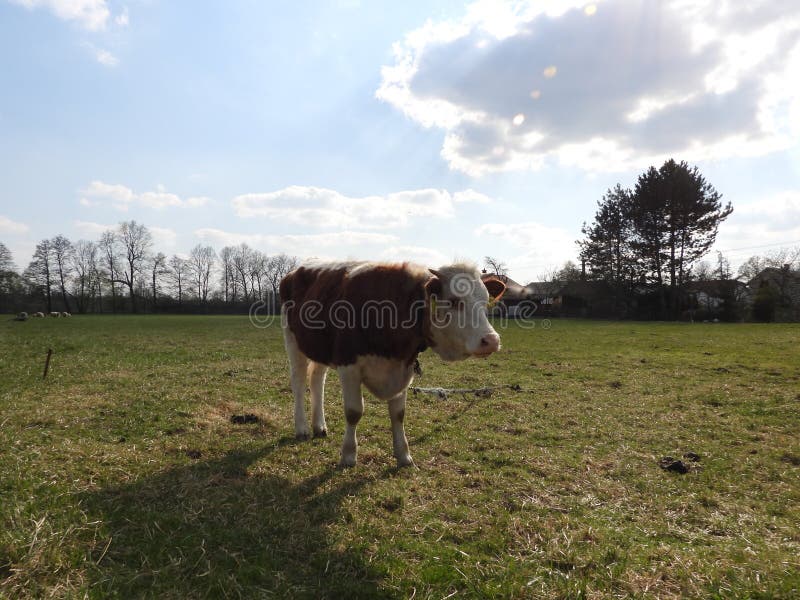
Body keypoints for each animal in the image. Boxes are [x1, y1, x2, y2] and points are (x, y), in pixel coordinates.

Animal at [279, 261, 506, 468]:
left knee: (317, 380)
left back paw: (319, 426)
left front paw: (404, 456)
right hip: (292, 341)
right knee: (299, 382)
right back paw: (302, 428)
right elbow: (353, 412)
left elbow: (398, 414)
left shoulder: (403, 367)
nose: (492, 340)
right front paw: (348, 455)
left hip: (319, 347)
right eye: (453, 301)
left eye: (485, 302)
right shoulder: (348, 365)